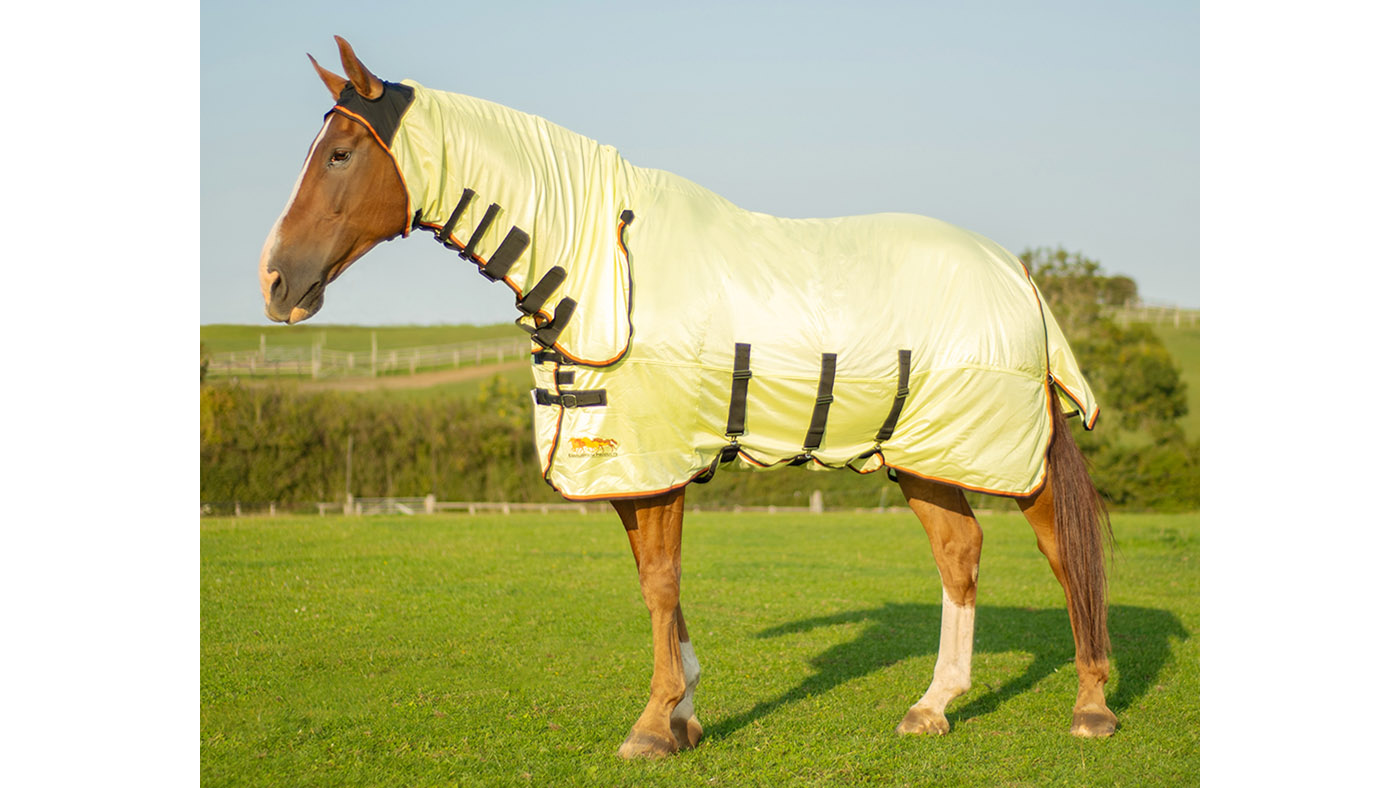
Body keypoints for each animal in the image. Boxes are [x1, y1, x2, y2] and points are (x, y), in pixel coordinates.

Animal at [258, 36, 1118, 759]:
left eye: (339, 154)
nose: (275, 281)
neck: (605, 263)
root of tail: (1018, 275)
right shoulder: (624, 465)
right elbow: (654, 582)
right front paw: (685, 714)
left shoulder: (658, 461)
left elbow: (661, 583)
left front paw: (654, 724)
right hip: (920, 456)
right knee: (959, 552)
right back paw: (933, 705)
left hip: (1009, 456)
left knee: (1063, 551)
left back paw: (1092, 706)